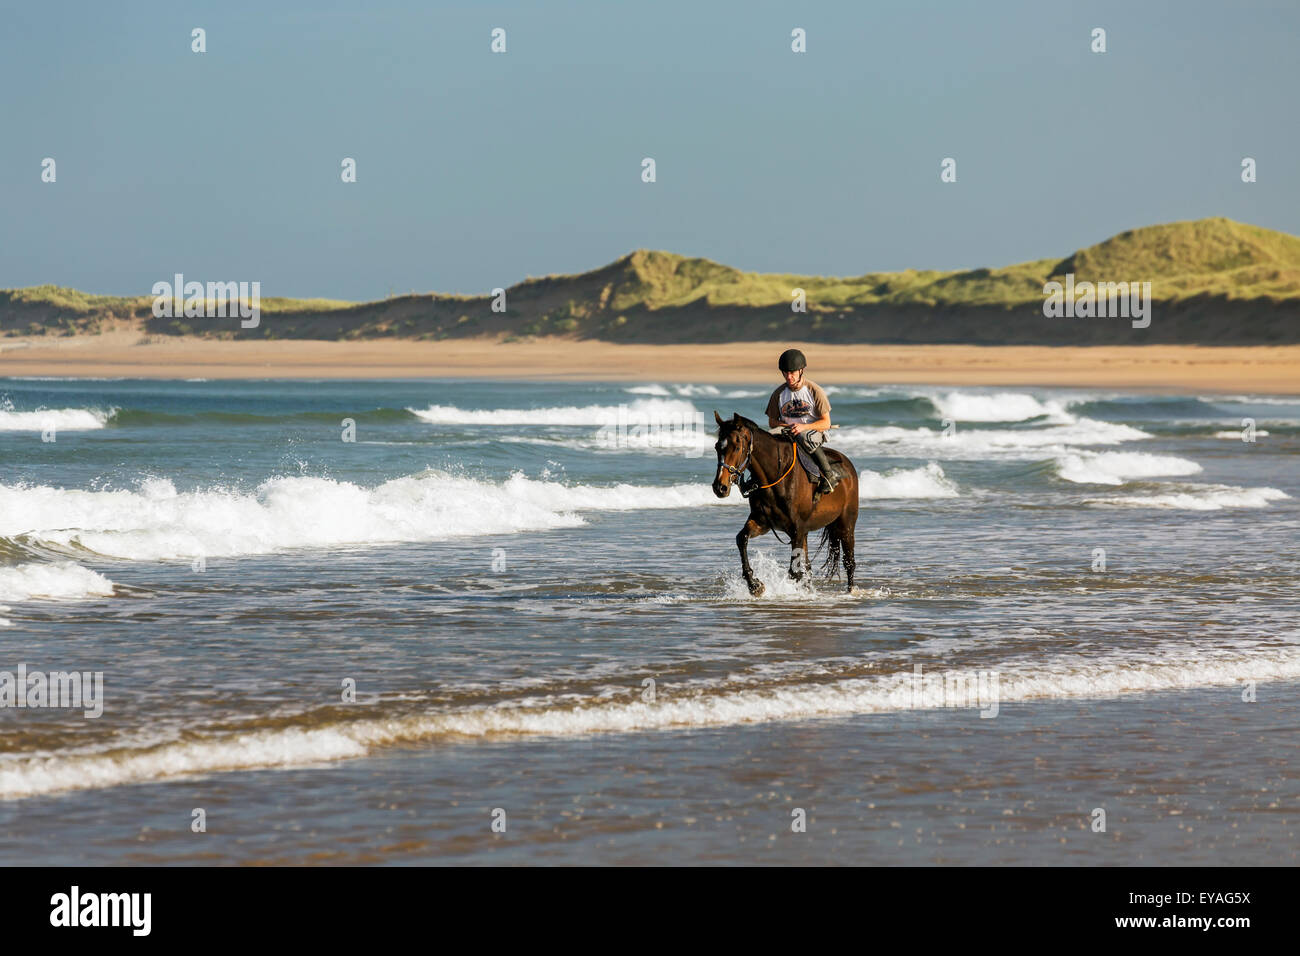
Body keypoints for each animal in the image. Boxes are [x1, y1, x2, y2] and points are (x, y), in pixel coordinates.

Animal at [711, 411, 859, 595]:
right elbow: (741, 538)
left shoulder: (797, 529)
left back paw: (851, 591)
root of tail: (847, 463)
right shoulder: (763, 523)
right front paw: (754, 585)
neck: (775, 478)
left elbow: (794, 572)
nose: (720, 487)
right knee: (809, 566)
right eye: (717, 447)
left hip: (846, 524)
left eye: (737, 448)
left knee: (849, 561)